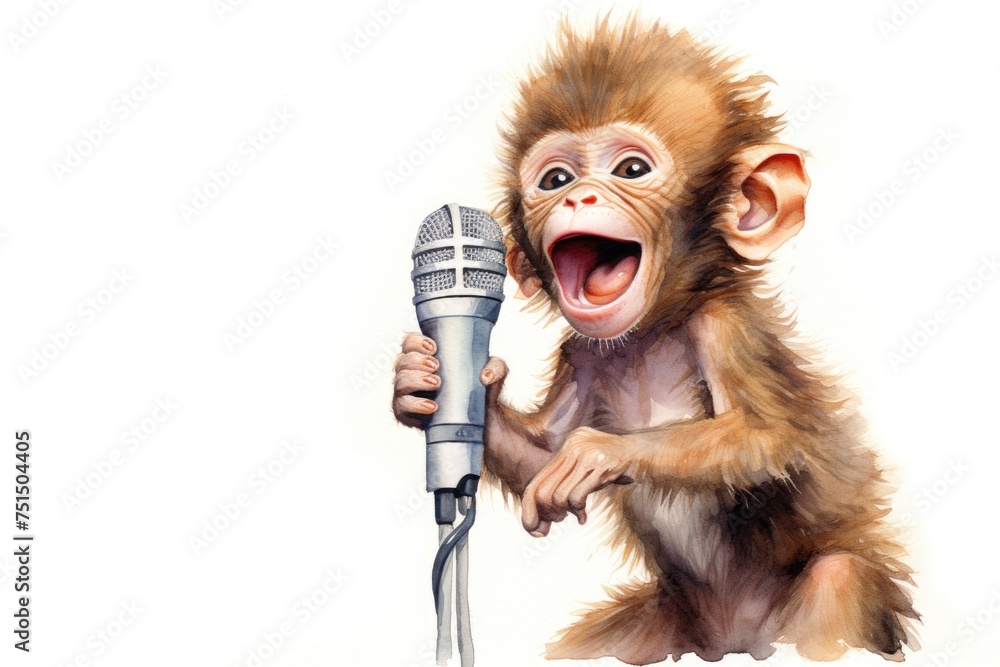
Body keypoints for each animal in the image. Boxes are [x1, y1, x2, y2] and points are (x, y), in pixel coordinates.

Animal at [393, 15, 918, 664]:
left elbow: (770, 439)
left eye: (632, 171)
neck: (648, 338)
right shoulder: (583, 356)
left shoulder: (724, 326)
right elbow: (537, 452)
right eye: (555, 179)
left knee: (836, 582)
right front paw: (422, 381)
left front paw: (598, 453)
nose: (578, 196)